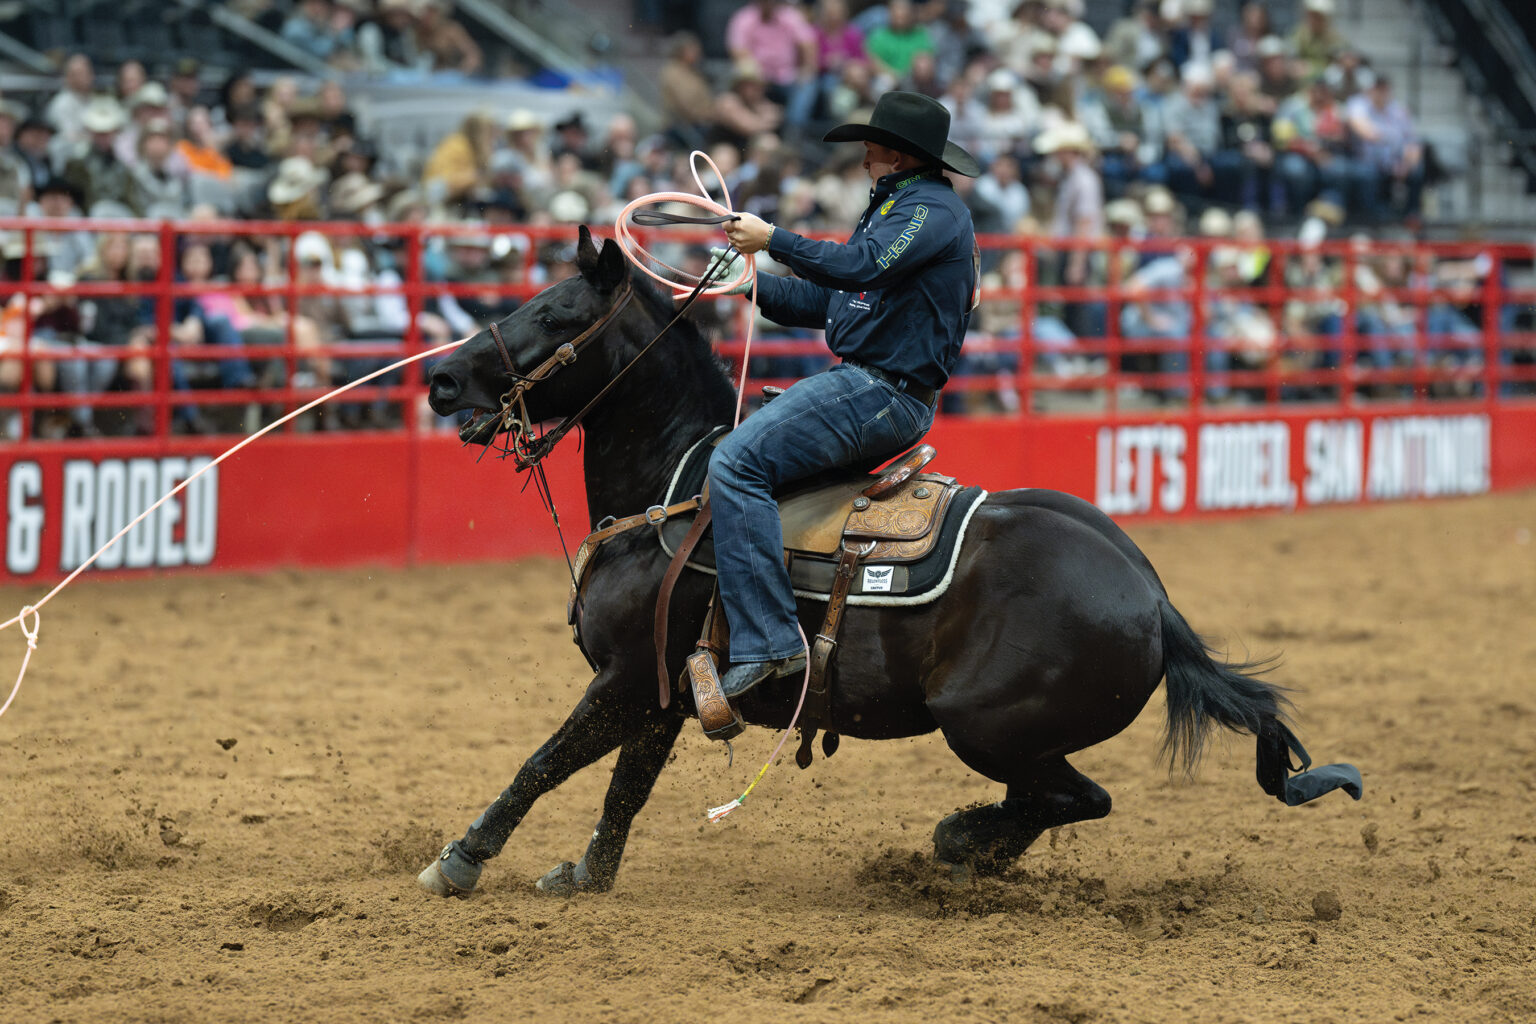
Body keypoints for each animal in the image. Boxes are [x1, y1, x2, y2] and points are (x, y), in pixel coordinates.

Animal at [416, 226, 1360, 898]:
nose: (443, 382)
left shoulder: (621, 681)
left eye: (554, 315)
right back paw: (970, 851)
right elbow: (625, 791)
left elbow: (541, 763)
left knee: (1075, 797)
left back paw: (958, 844)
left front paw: (460, 859)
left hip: (985, 725)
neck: (673, 486)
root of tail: (1154, 600)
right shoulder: (661, 696)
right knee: (1052, 800)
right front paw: (586, 875)